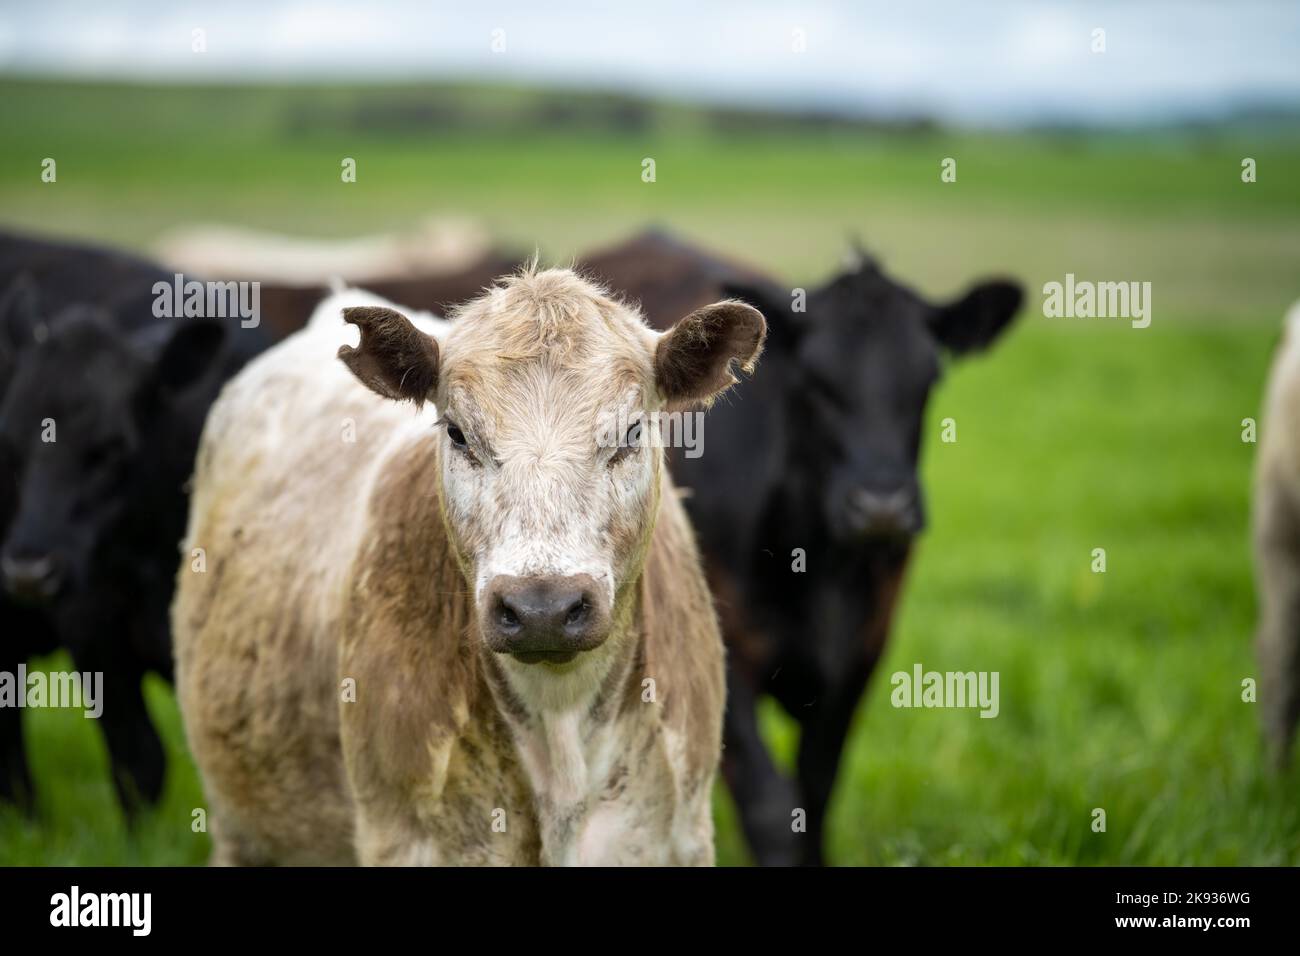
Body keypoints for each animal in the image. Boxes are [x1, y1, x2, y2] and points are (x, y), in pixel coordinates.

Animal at [581, 230, 1024, 865]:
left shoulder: (859, 658)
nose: (881, 505)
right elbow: (770, 805)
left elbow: (814, 795)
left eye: (929, 378)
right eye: (814, 382)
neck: (816, 568)